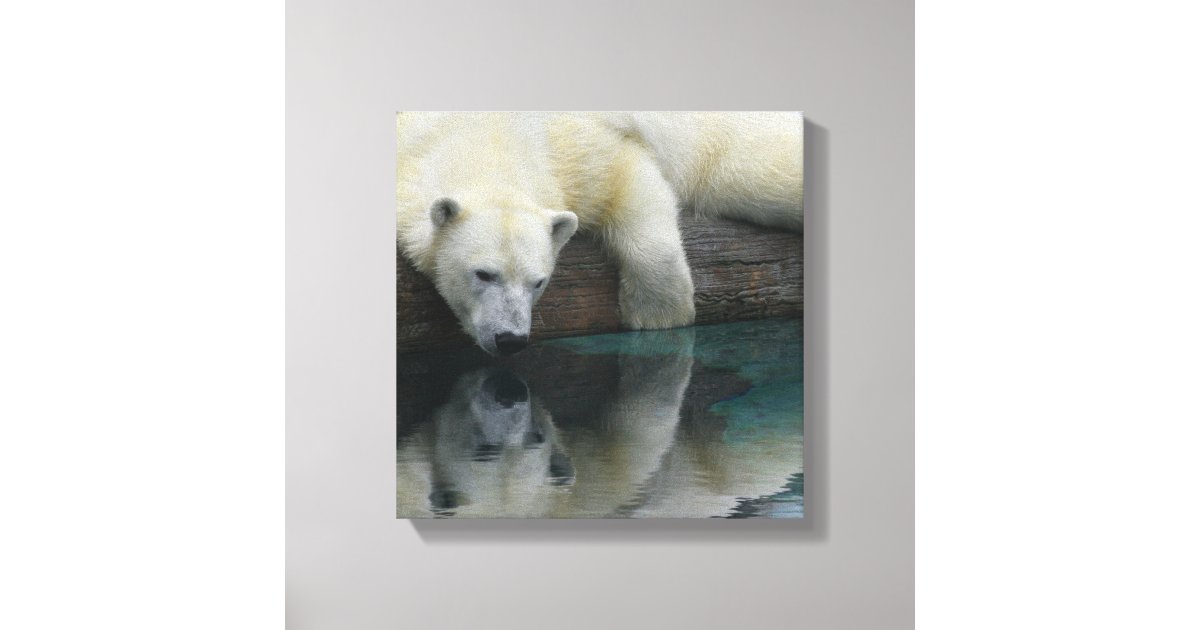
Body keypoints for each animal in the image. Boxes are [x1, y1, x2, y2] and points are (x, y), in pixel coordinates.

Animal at [395, 111, 803, 356]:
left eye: (539, 282)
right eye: (483, 274)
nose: (510, 340)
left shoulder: (576, 146)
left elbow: (627, 172)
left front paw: (655, 314)